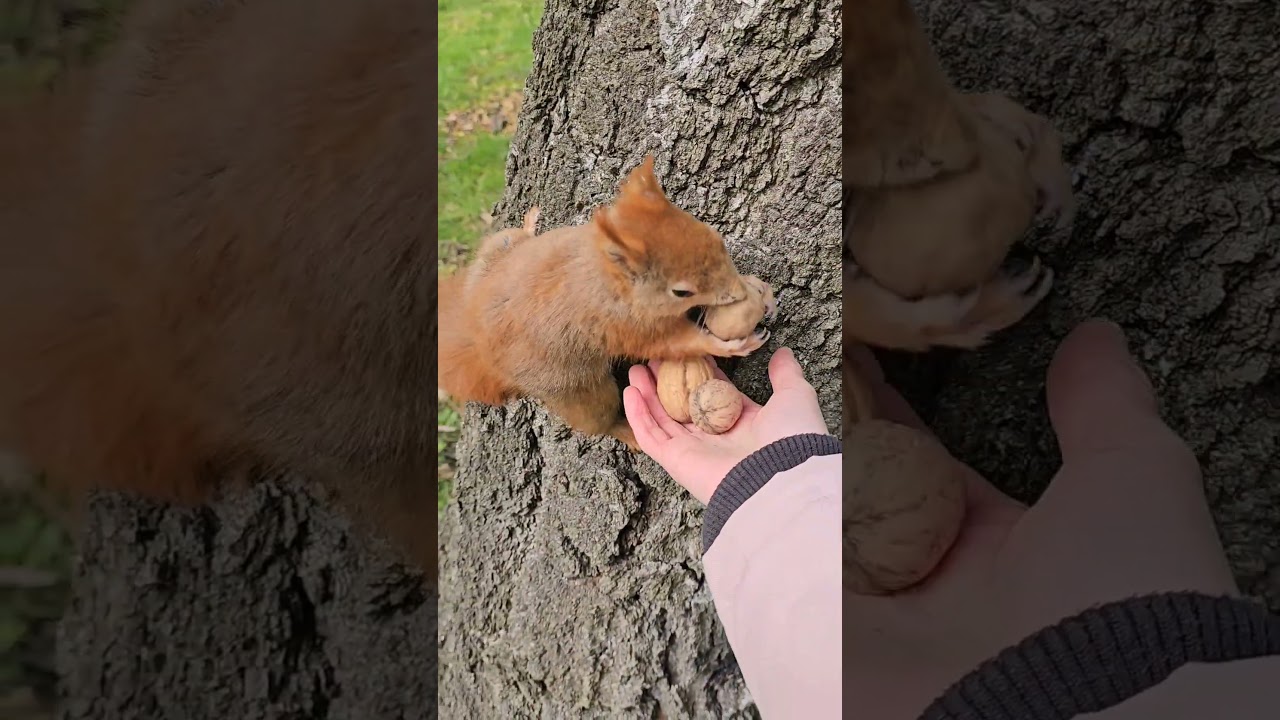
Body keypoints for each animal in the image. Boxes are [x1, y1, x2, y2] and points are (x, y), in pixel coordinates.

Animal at [438, 155, 769, 451]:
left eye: (714, 238)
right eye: (681, 292)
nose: (737, 292)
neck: (607, 276)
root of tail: (481, 343)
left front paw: (761, 291)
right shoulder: (625, 326)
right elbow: (670, 344)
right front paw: (730, 345)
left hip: (497, 250)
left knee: (507, 237)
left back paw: (529, 226)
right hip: (577, 388)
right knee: (596, 419)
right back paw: (625, 431)